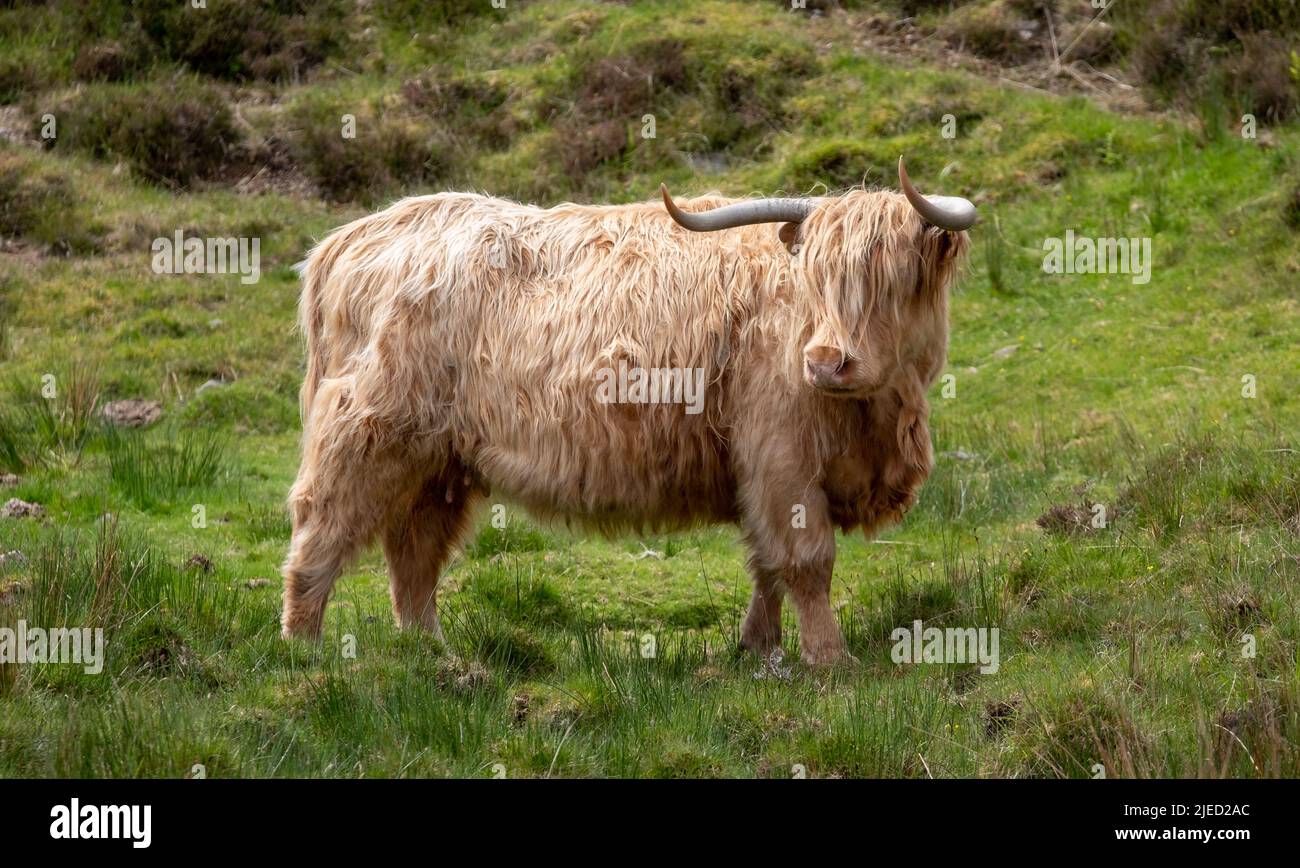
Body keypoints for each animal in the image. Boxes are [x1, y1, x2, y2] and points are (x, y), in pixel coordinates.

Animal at [281, 157, 974, 666]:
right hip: (366, 431)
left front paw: (758, 647)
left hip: (438, 461)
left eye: (895, 279)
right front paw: (830, 661)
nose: (827, 362)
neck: (882, 415)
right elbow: (806, 560)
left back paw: (431, 653)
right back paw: (304, 650)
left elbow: (766, 563)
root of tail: (349, 239)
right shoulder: (782, 458)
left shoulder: (761, 471)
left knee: (415, 553)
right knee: (324, 525)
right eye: (817, 277)